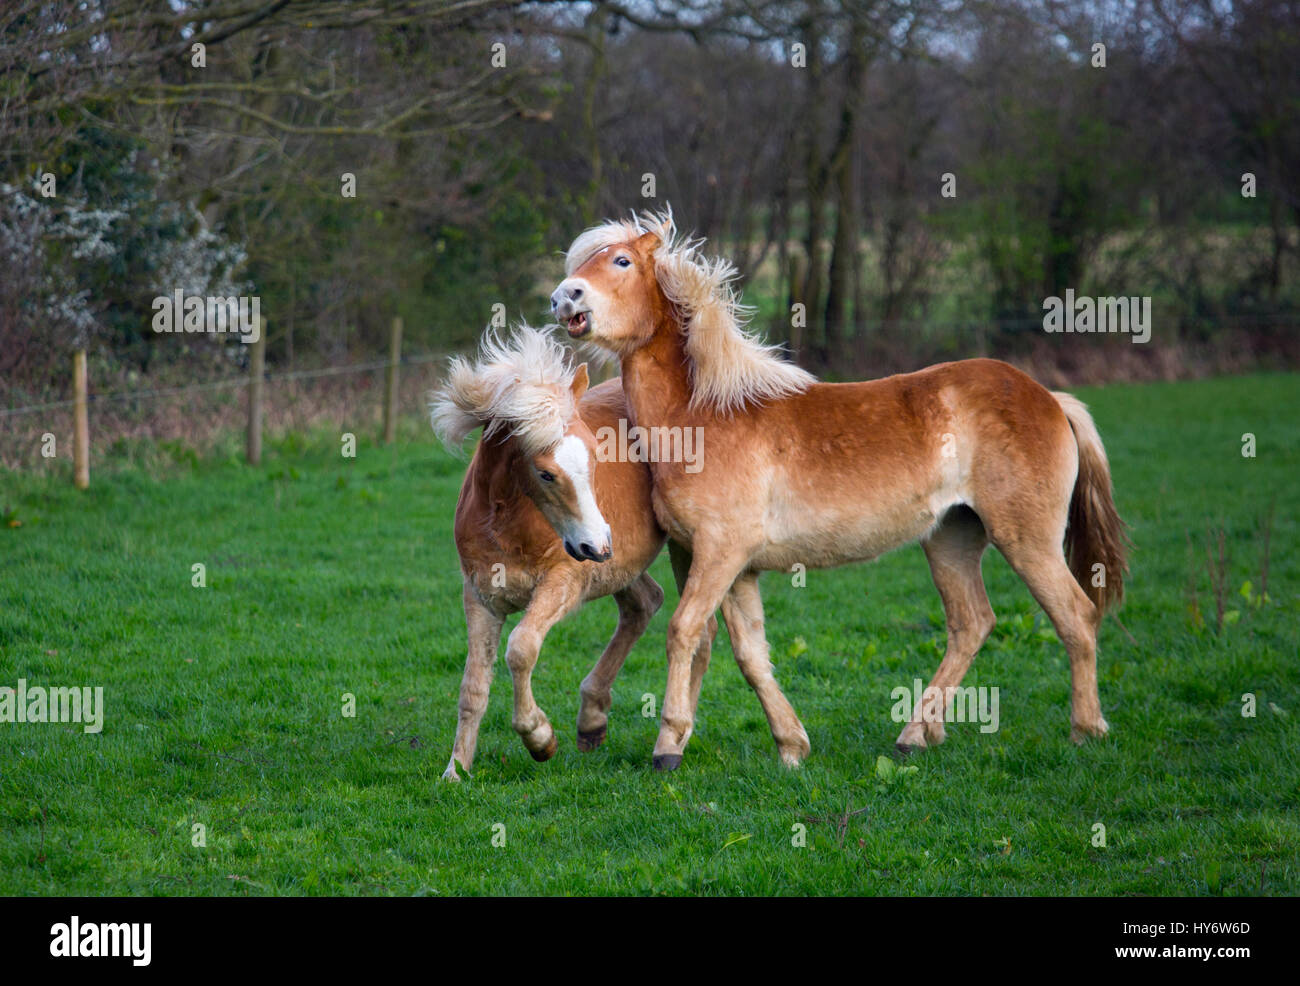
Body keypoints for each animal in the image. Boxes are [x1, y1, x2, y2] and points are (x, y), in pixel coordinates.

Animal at [430, 326, 715, 780]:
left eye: (597, 456)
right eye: (546, 473)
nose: (597, 544)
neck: (504, 522)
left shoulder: (561, 582)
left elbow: (521, 648)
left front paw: (539, 738)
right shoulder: (480, 597)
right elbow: (472, 687)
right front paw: (456, 770)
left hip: (681, 549)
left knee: (700, 632)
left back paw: (673, 741)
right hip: (620, 567)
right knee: (644, 604)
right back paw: (593, 720)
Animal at [550, 212, 1129, 772]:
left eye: (621, 261)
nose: (563, 298)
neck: (704, 415)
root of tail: (1051, 398)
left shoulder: (721, 552)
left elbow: (683, 631)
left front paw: (667, 748)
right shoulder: (728, 564)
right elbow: (750, 655)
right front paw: (791, 747)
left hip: (1026, 539)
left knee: (1076, 617)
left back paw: (1086, 731)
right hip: (951, 538)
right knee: (972, 624)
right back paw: (915, 736)